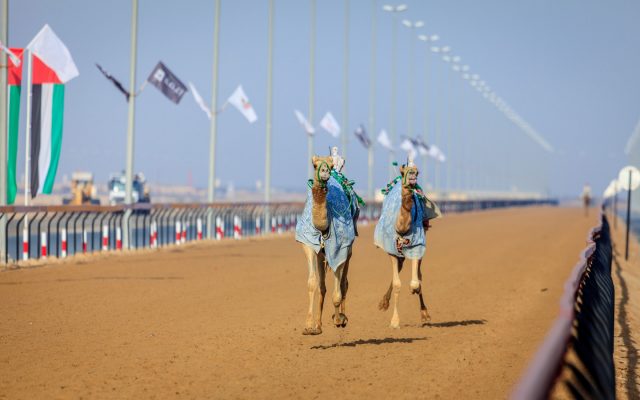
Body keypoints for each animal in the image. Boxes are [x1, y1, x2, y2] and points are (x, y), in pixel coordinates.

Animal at [295, 154, 359, 335]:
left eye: (329, 166)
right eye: (315, 165)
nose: (324, 172)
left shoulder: (340, 249)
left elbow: (337, 291)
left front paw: (338, 320)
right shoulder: (308, 244)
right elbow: (312, 284)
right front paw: (309, 326)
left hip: (348, 251)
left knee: (344, 283)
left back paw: (342, 317)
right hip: (321, 254)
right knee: (323, 286)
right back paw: (318, 325)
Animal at [374, 159, 441, 328]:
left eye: (417, 172)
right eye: (403, 171)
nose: (412, 175)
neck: (402, 228)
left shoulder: (417, 247)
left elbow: (416, 282)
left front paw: (422, 310)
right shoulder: (391, 250)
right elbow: (397, 283)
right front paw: (394, 321)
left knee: (418, 275)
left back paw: (424, 314)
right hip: (398, 254)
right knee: (396, 273)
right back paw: (383, 303)